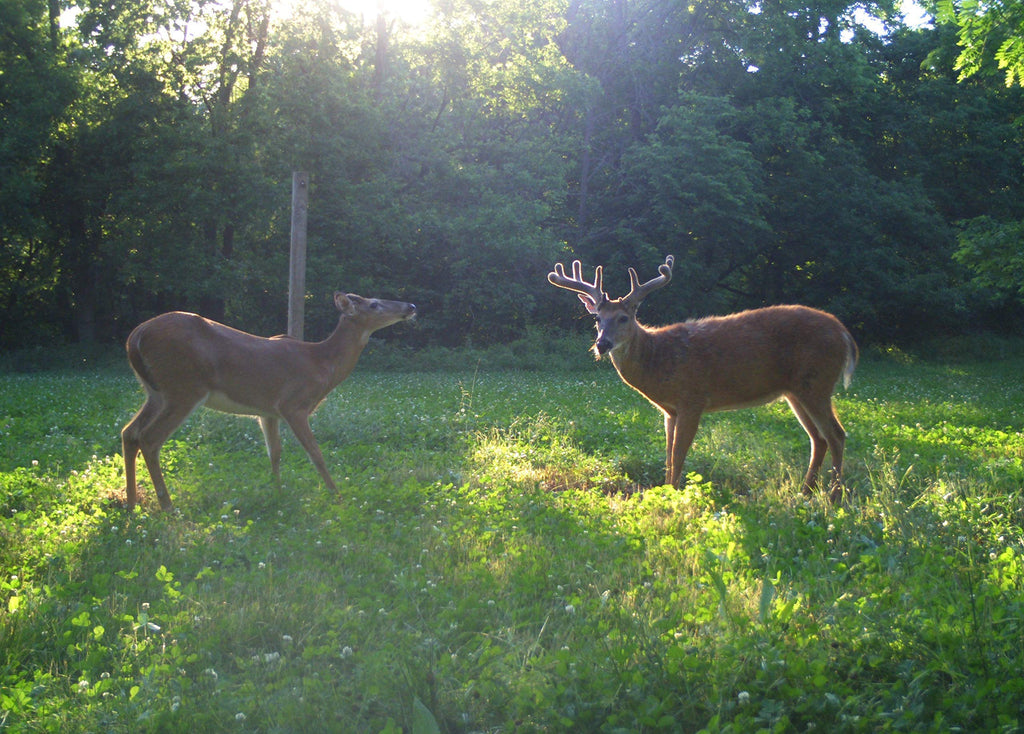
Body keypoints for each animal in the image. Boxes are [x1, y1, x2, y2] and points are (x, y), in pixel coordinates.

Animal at [121, 292, 416, 511]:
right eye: (374, 303)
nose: (411, 306)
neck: (322, 363)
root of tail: (135, 337)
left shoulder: (267, 411)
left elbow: (275, 452)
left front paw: (278, 493)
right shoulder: (294, 404)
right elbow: (315, 453)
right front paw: (336, 495)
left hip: (156, 391)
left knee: (129, 432)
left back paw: (132, 503)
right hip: (183, 386)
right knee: (149, 438)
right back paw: (167, 506)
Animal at [548, 255, 858, 501]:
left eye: (624, 318)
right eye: (597, 319)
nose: (602, 344)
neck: (659, 361)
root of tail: (844, 334)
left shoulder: (693, 399)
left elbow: (679, 454)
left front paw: (673, 495)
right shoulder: (669, 411)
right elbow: (668, 455)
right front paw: (664, 491)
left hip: (817, 382)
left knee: (836, 434)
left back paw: (834, 497)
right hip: (796, 390)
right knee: (818, 438)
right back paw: (804, 493)